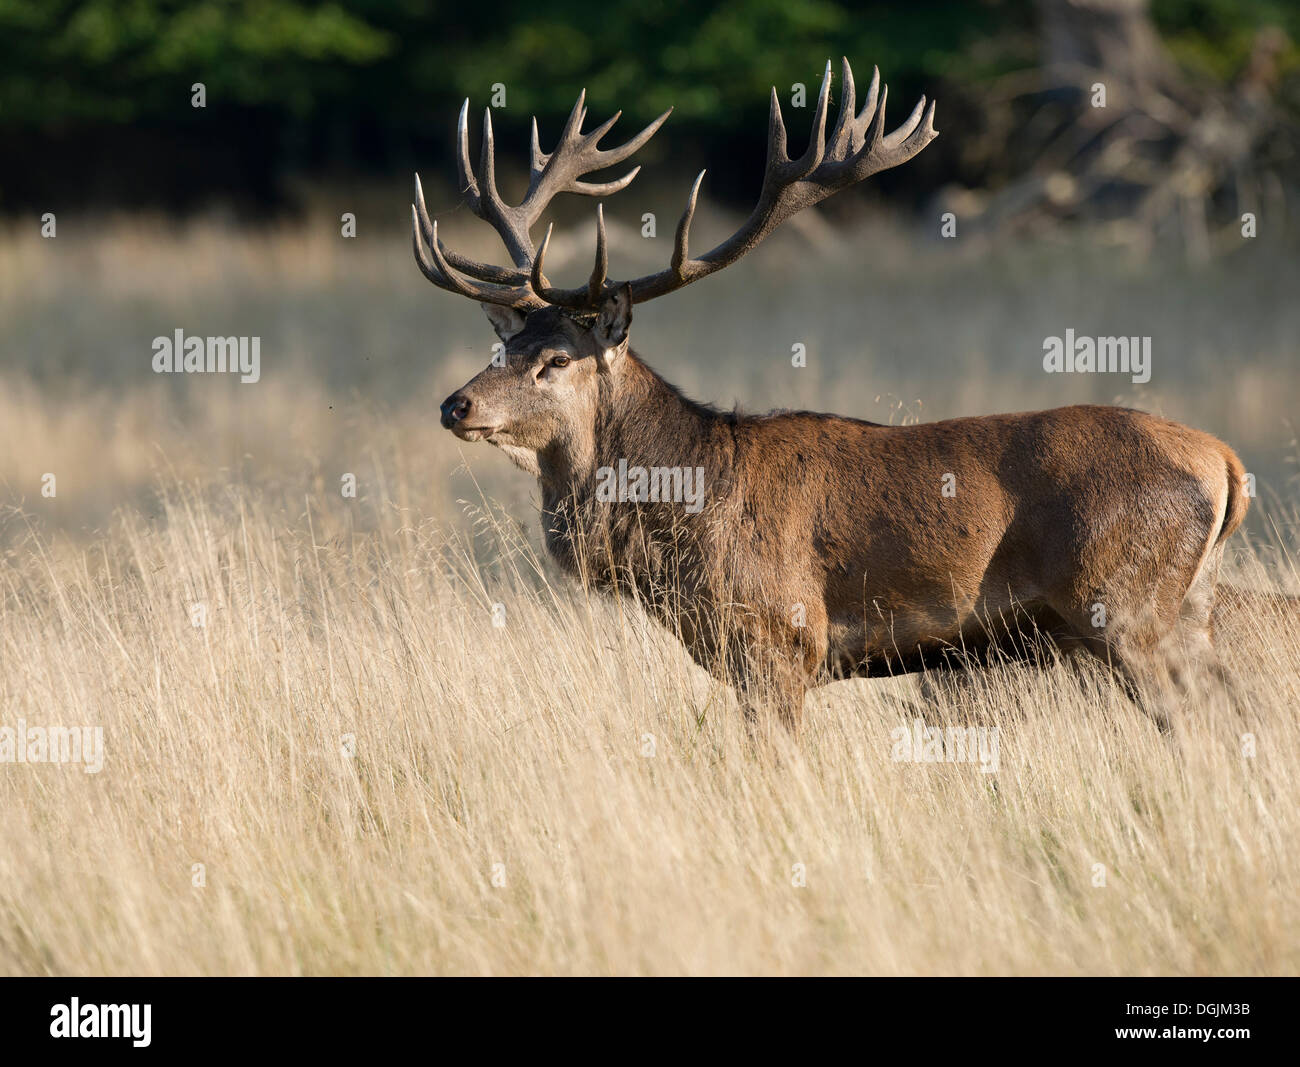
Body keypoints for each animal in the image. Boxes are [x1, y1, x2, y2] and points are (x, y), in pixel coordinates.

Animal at [412, 58, 1249, 735]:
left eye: (556, 359)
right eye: (502, 347)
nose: (456, 405)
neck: (683, 505)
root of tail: (1227, 465)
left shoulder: (780, 637)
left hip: (1126, 604)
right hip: (1188, 608)